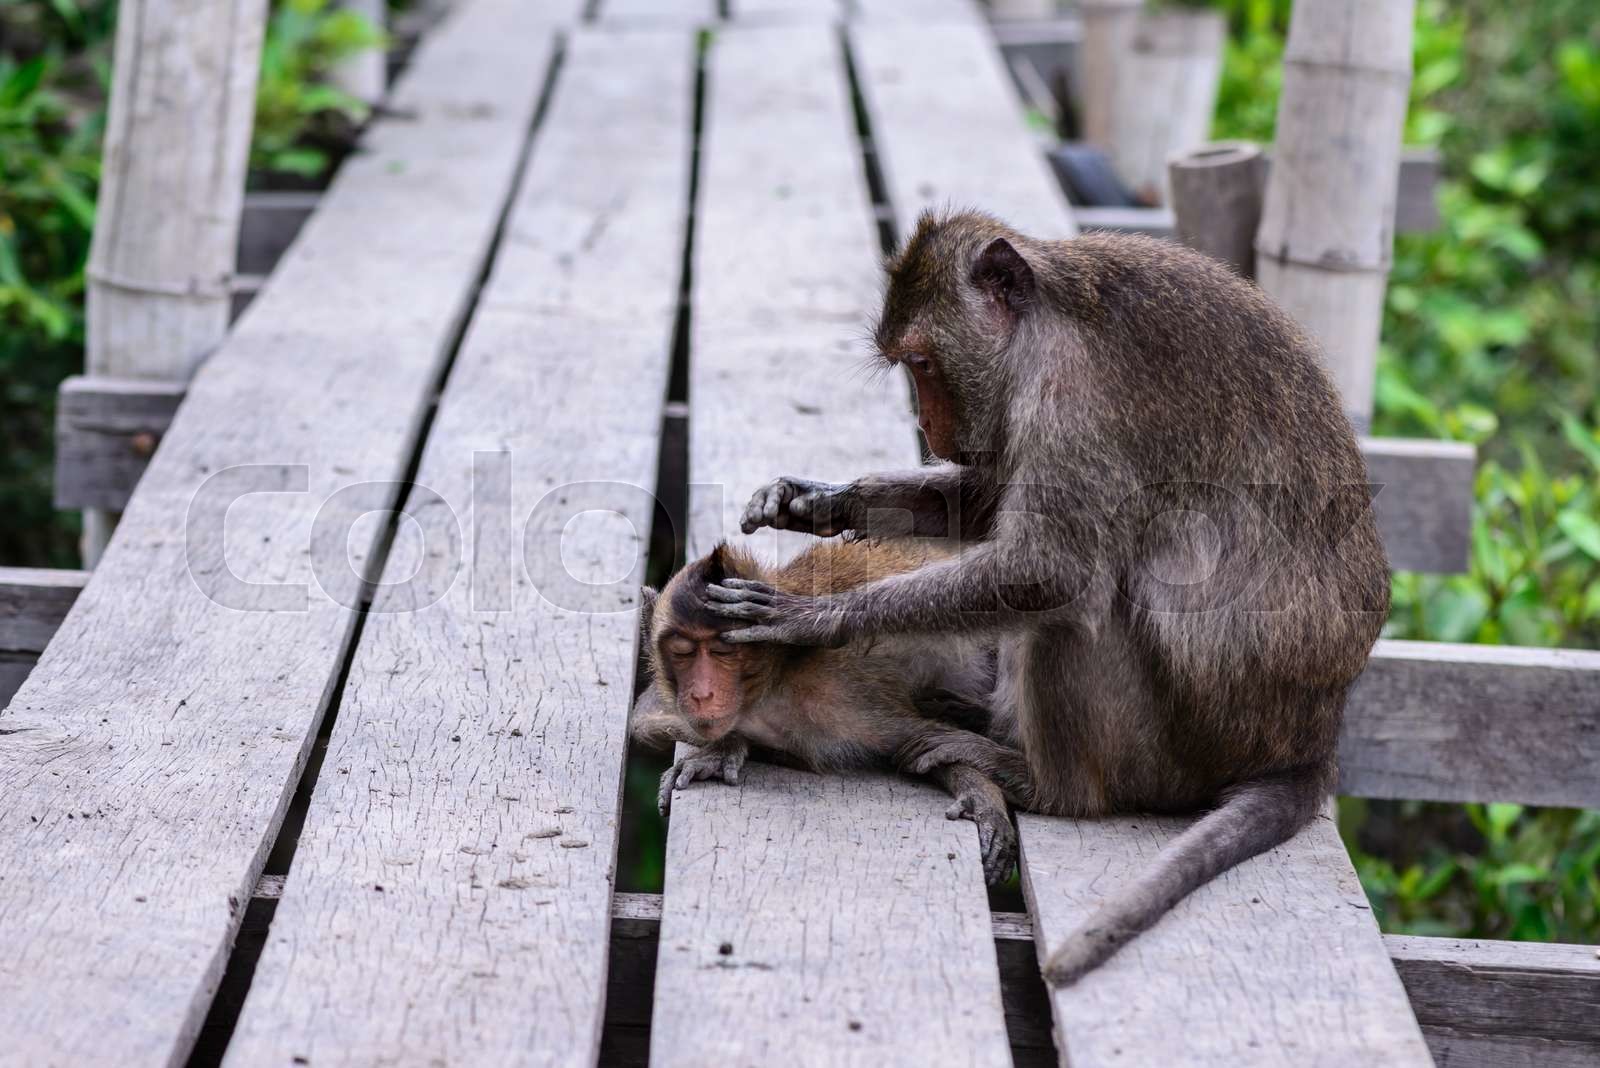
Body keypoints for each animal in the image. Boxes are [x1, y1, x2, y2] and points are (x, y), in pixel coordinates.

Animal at [629, 537, 1018, 885]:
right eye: (682, 653)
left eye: (723, 652)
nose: (702, 694)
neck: (774, 683)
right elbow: (643, 721)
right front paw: (721, 750)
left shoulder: (848, 698)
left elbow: (923, 746)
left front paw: (982, 800)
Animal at [698, 210, 1391, 985]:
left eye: (924, 364)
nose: (930, 429)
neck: (1046, 318)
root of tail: (1310, 743)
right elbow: (986, 500)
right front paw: (817, 500)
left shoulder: (1072, 399)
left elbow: (1047, 571)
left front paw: (814, 620)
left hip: (1177, 753)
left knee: (1076, 610)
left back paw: (1038, 783)